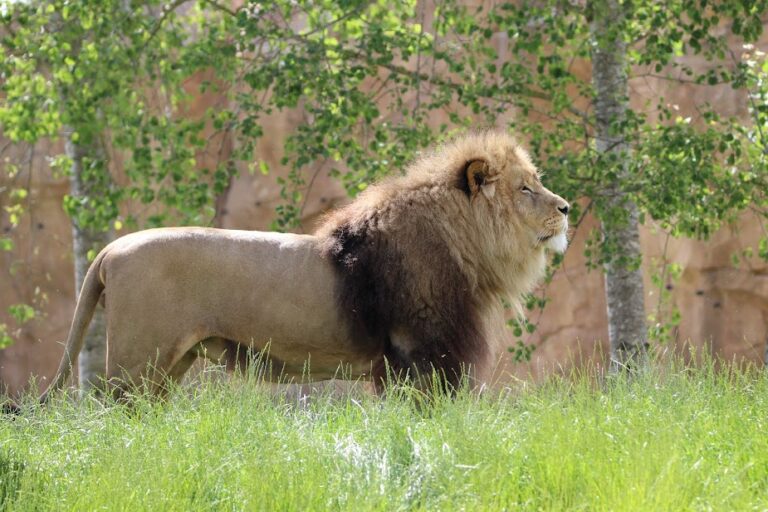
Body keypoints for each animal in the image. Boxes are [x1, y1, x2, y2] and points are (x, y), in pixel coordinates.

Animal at [41, 130, 569, 402]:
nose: (565, 208)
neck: (466, 245)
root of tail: (111, 249)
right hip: (134, 363)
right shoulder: (419, 354)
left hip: (166, 367)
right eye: (526, 188)